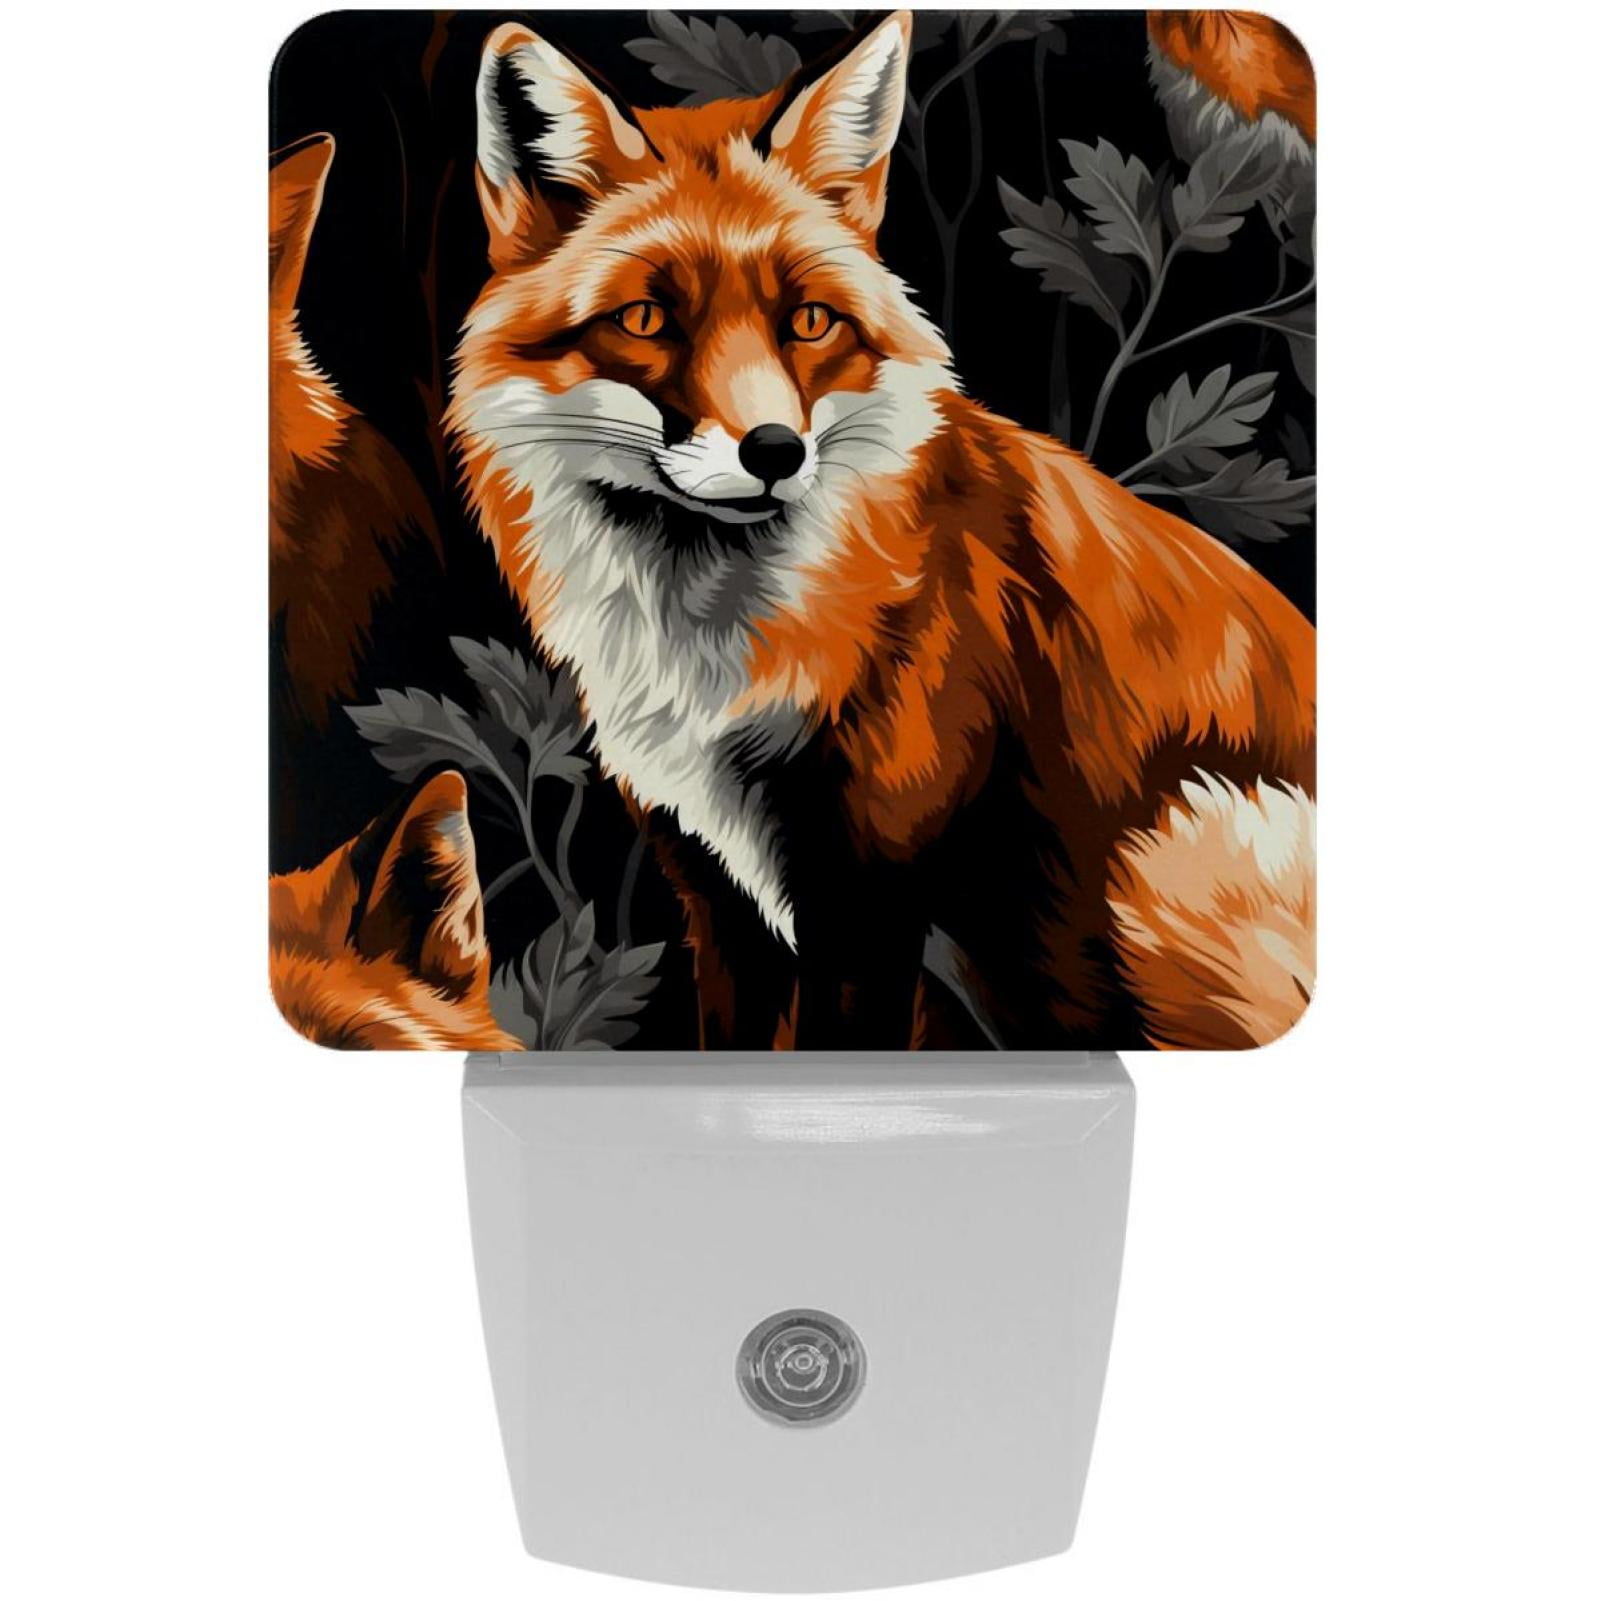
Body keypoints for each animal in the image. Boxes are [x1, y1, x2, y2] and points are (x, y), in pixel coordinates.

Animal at [446, 12, 1316, 1050]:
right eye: (648, 319)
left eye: (809, 322)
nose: (774, 450)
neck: (722, 659)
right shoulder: (720, 893)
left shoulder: (869, 901)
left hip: (1173, 856)